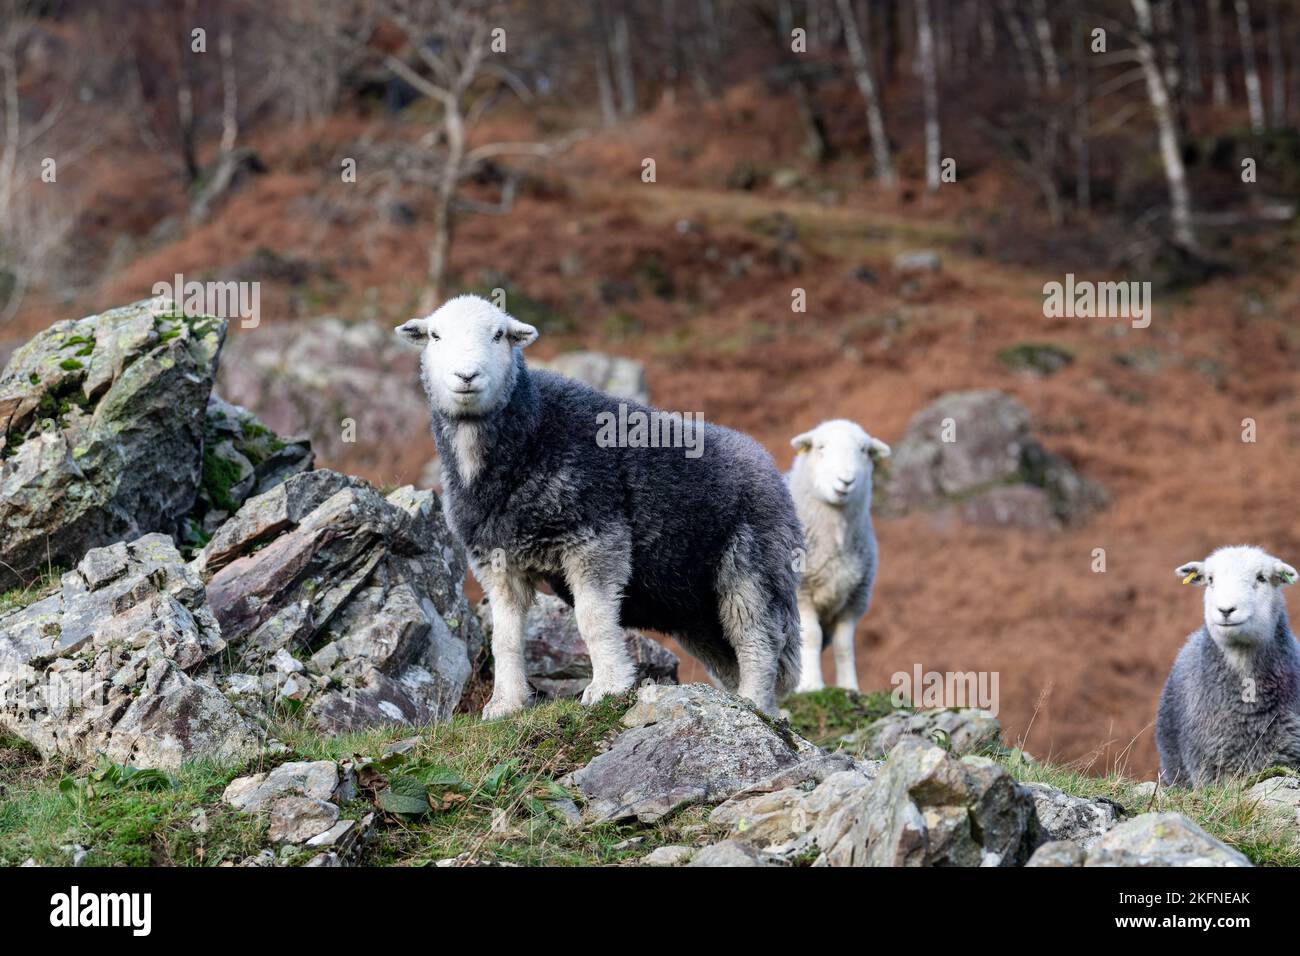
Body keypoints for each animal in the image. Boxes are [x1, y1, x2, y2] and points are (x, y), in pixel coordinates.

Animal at [396, 294, 804, 718]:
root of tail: (764, 459)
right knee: (728, 653)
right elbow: (504, 638)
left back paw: (754, 704)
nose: (466, 376)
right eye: (435, 336)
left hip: (754, 565)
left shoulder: (594, 538)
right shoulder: (497, 561)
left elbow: (592, 618)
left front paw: (607, 686)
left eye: (498, 335)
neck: (530, 433)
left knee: (757, 640)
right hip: (692, 604)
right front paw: (506, 704)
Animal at [786, 419, 890, 693]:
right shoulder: (801, 593)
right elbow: (811, 636)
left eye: (864, 450)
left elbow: (845, 646)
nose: (846, 480)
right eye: (820, 447)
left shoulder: (853, 600)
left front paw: (849, 687)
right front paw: (811, 685)